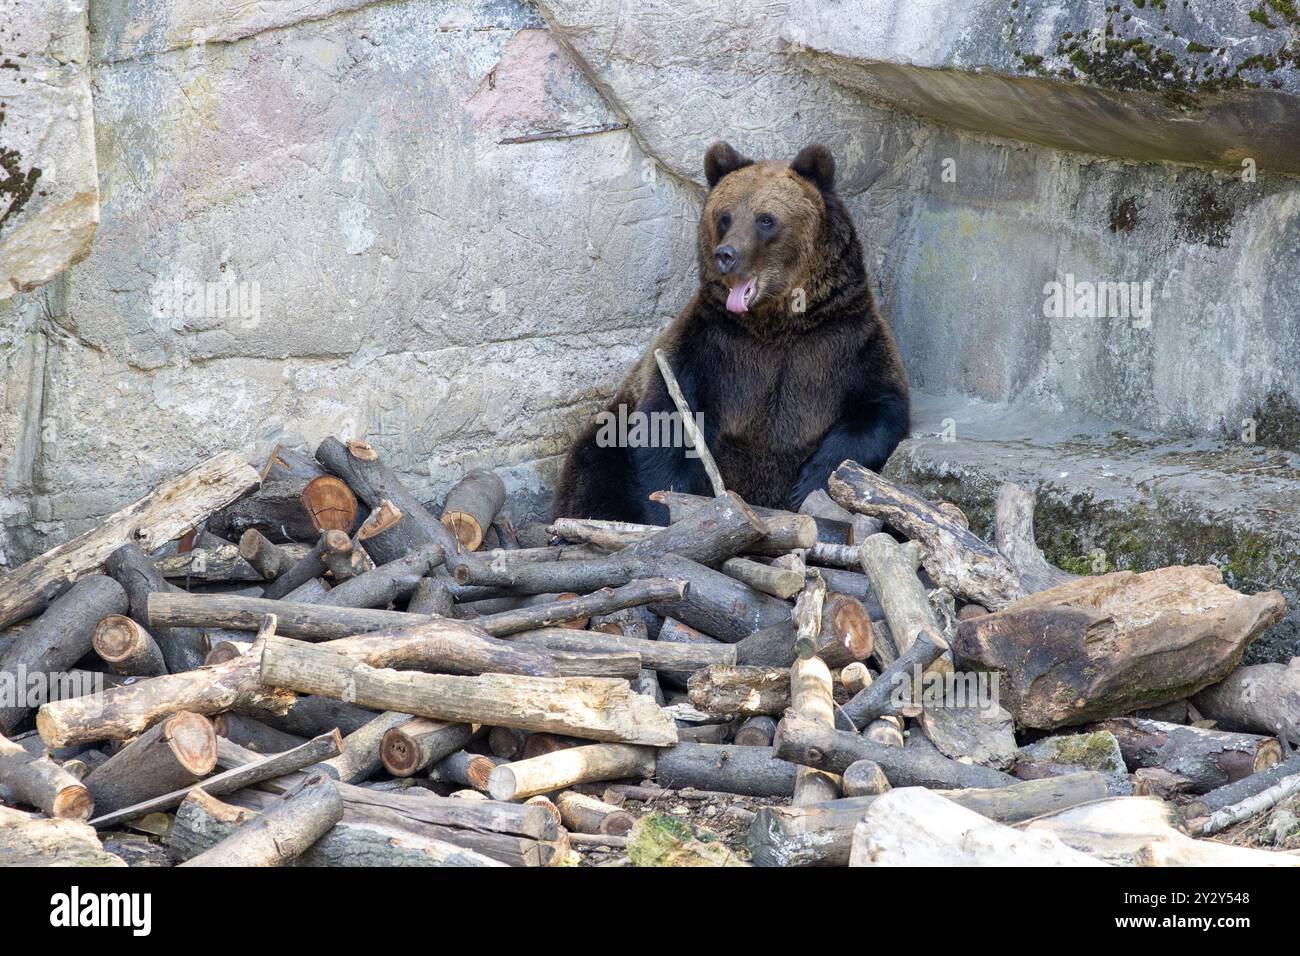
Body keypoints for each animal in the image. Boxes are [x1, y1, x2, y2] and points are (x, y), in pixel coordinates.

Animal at [552, 141, 910, 524]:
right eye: (725, 216)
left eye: (765, 219)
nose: (726, 254)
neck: (777, 324)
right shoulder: (706, 351)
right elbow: (667, 426)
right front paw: (671, 507)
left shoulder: (845, 342)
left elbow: (879, 410)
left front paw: (808, 484)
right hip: (611, 431)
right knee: (594, 465)